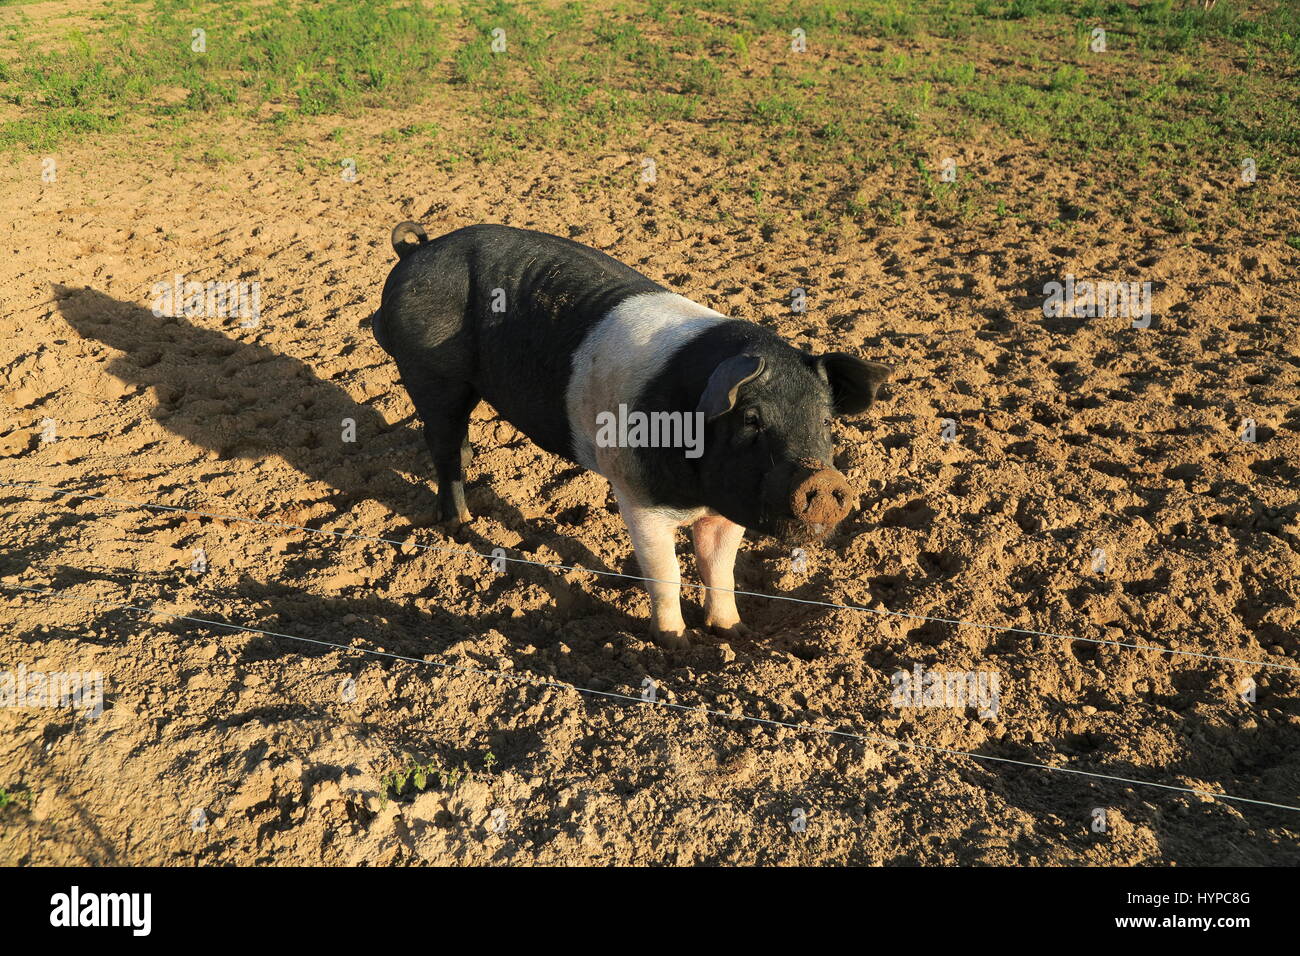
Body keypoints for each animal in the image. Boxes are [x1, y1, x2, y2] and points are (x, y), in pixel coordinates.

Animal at [372, 222, 890, 647]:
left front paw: (732, 633)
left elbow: (719, 568)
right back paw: (459, 525)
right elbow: (667, 572)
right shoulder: (637, 493)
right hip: (428, 370)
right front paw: (674, 647)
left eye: (826, 421)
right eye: (751, 419)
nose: (823, 480)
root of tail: (416, 250)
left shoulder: (730, 506)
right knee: (443, 445)